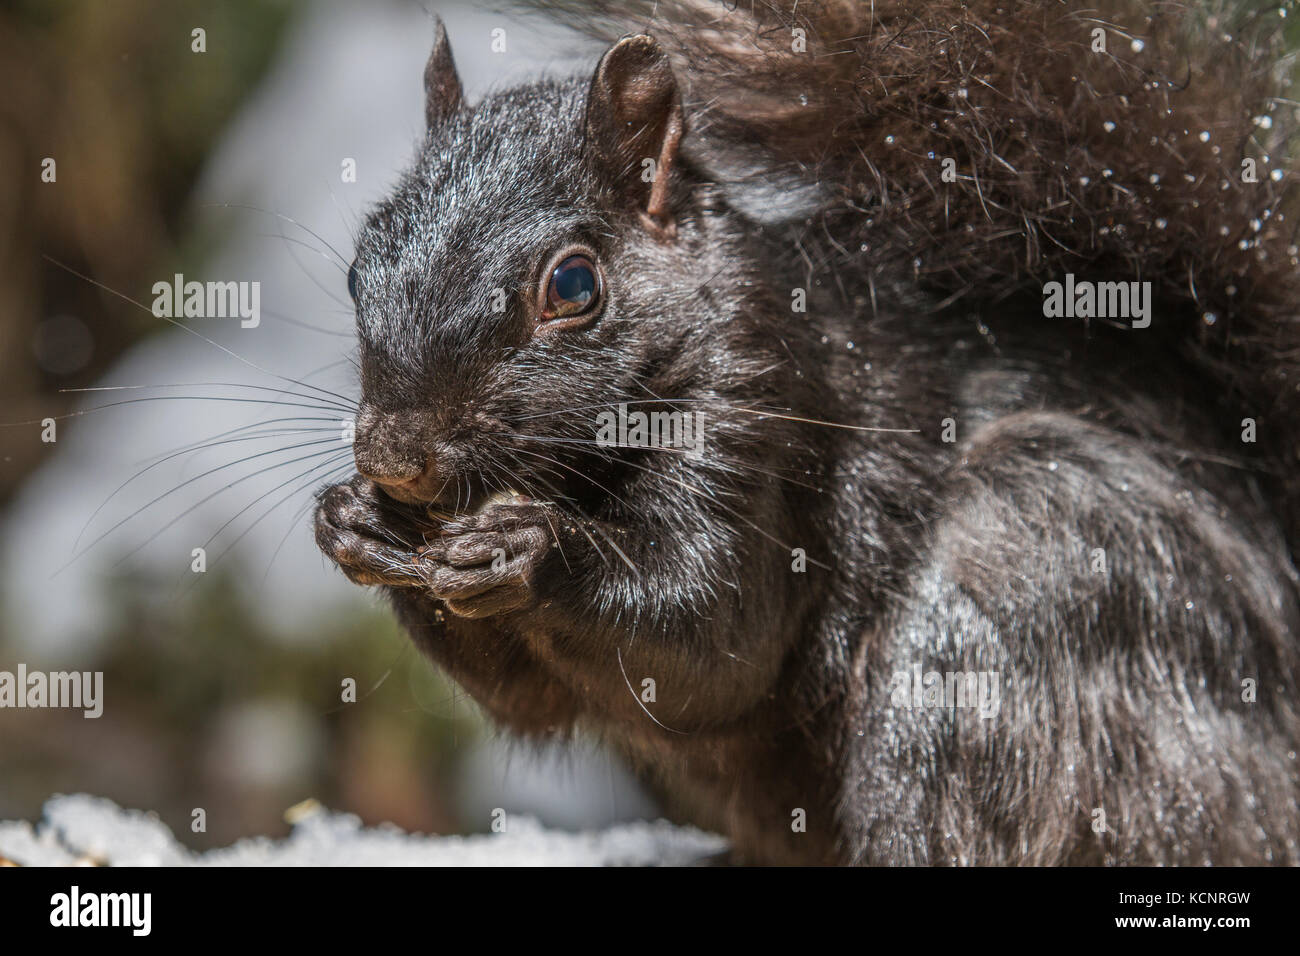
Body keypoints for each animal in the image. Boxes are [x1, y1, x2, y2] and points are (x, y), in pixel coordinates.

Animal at [314, 0, 1300, 865]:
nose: (394, 457)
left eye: (574, 285)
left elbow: (715, 631)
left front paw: (529, 548)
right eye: (361, 268)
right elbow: (529, 698)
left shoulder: (770, 418)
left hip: (1044, 565)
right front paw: (351, 519)